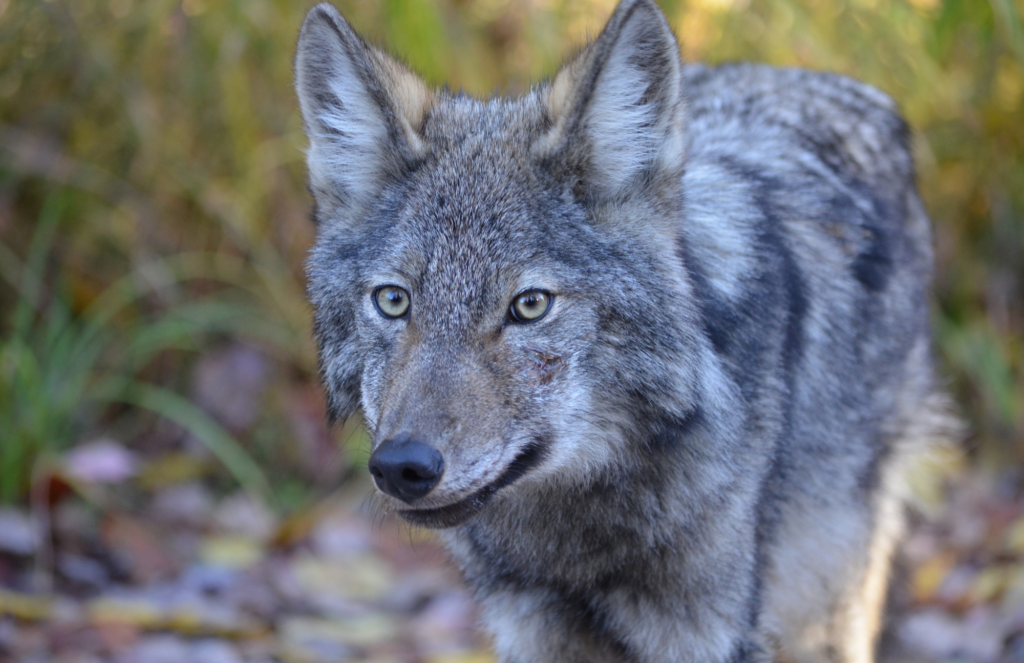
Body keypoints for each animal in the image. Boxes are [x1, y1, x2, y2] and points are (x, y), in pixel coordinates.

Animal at [293, 0, 956, 660]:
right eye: (393, 300)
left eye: (530, 305)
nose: (402, 466)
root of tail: (811, 77)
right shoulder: (534, 632)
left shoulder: (707, 636)